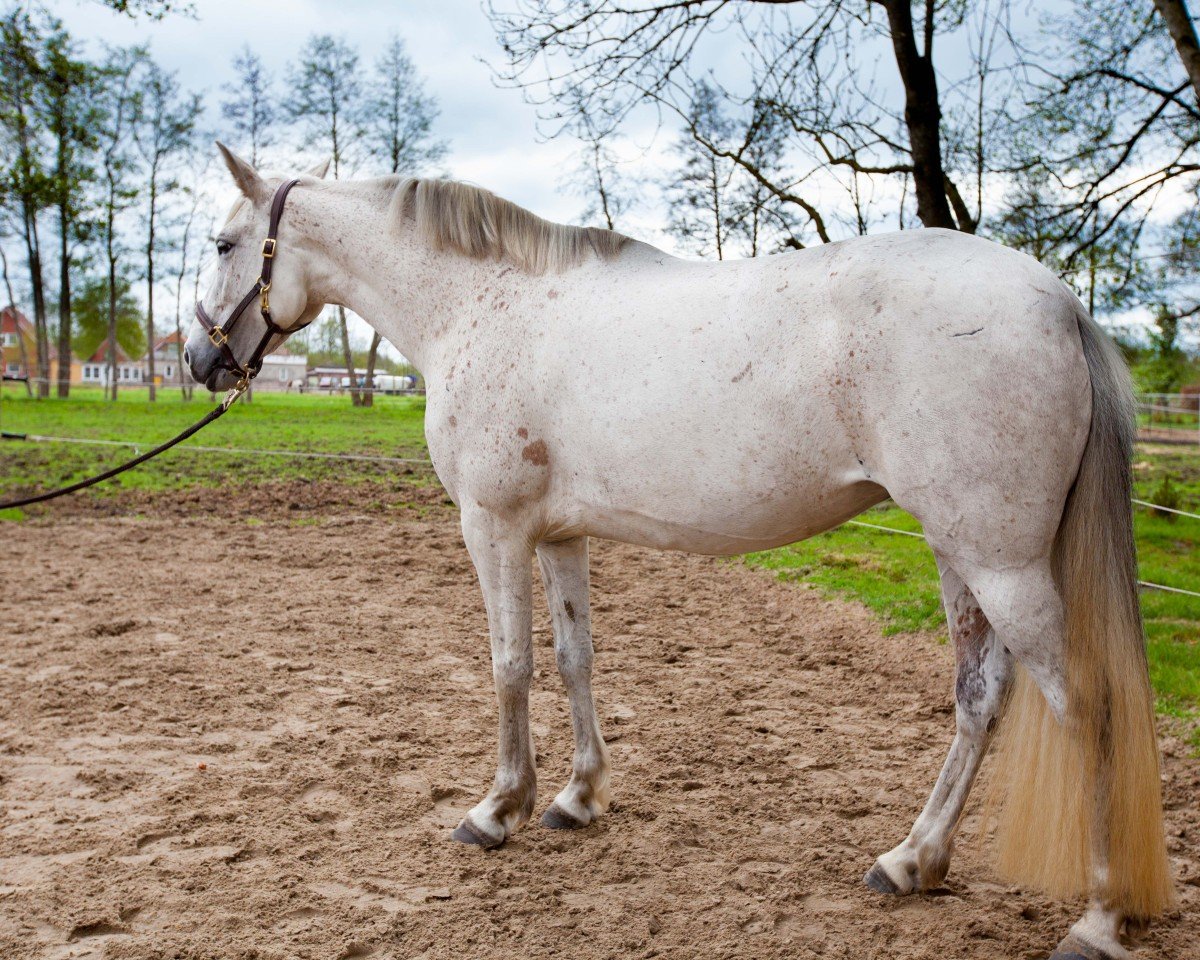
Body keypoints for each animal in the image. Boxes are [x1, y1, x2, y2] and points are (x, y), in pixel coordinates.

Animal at [185, 144, 1174, 960]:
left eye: (226, 243)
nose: (199, 358)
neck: (480, 306)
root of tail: (1058, 303)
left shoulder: (492, 528)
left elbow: (510, 666)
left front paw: (497, 810)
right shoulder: (560, 535)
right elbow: (575, 658)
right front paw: (577, 799)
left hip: (1001, 564)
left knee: (1089, 707)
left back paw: (1097, 920)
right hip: (962, 553)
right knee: (980, 699)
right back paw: (910, 861)